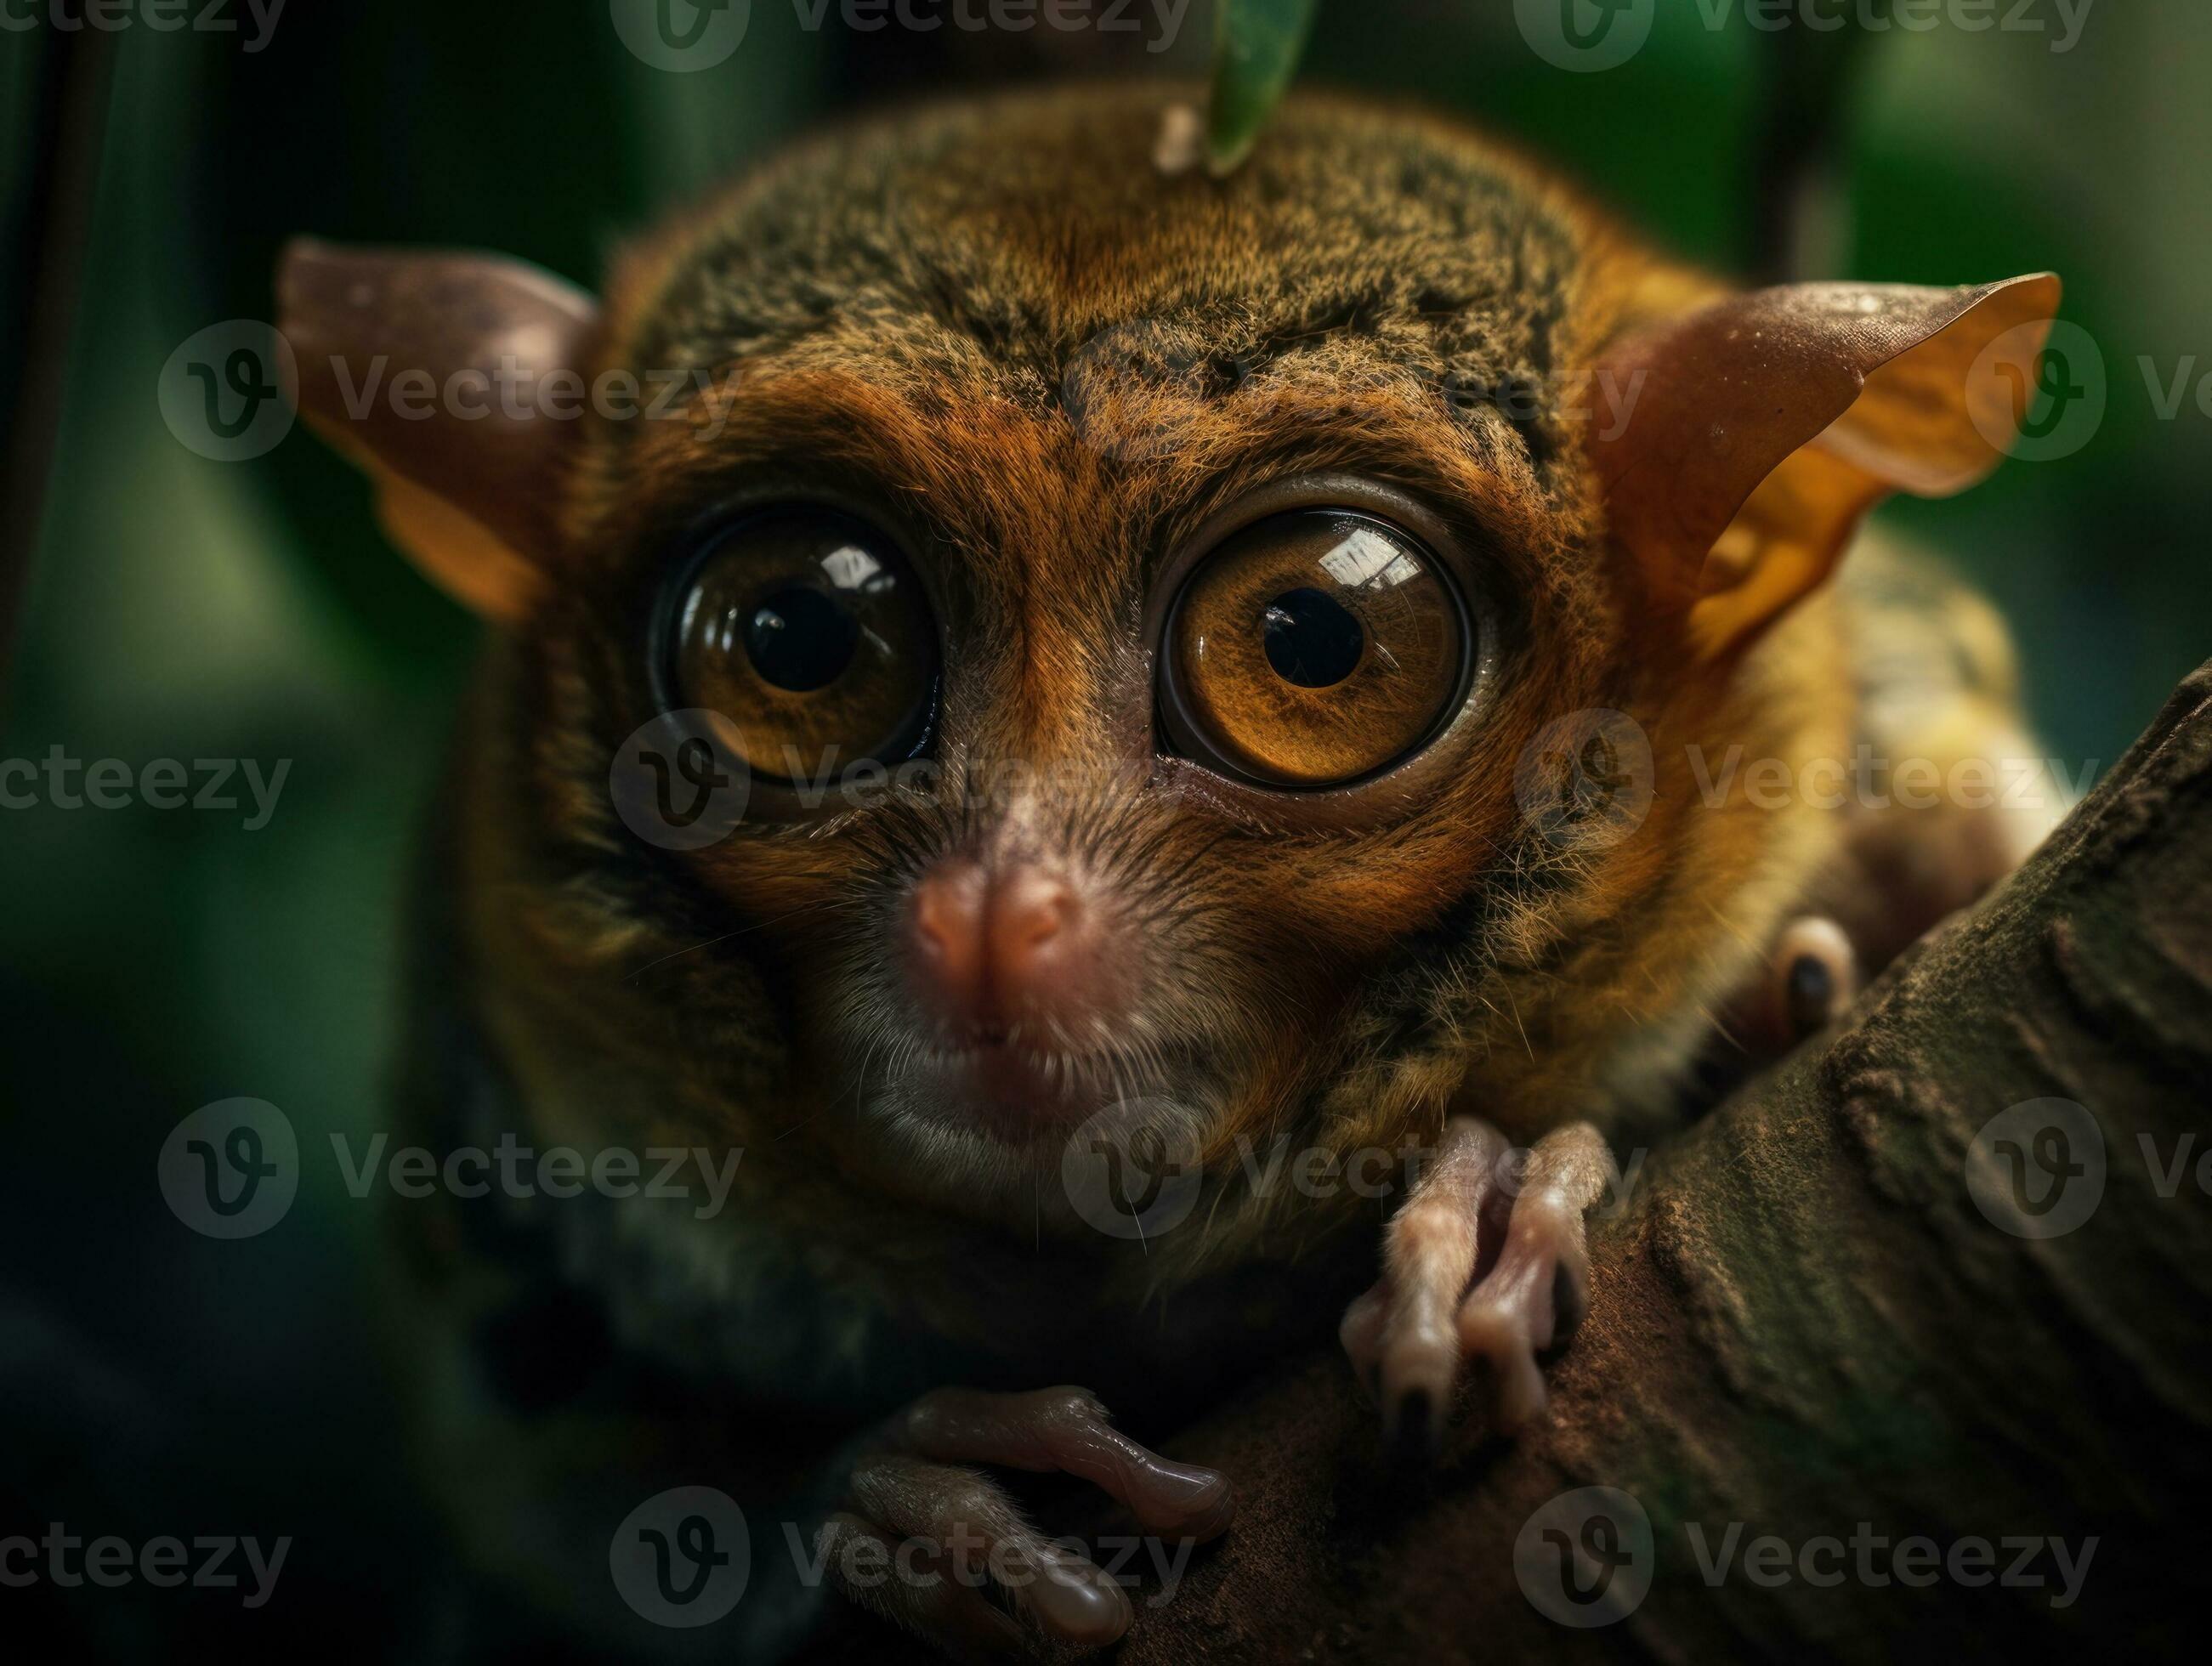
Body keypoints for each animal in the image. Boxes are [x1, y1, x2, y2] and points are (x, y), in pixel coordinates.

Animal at [275, 83, 2063, 1660]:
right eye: (798, 638)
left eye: (1315, 640)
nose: (997, 914)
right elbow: (527, 1477)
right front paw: (891, 1515)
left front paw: (1489, 1210)